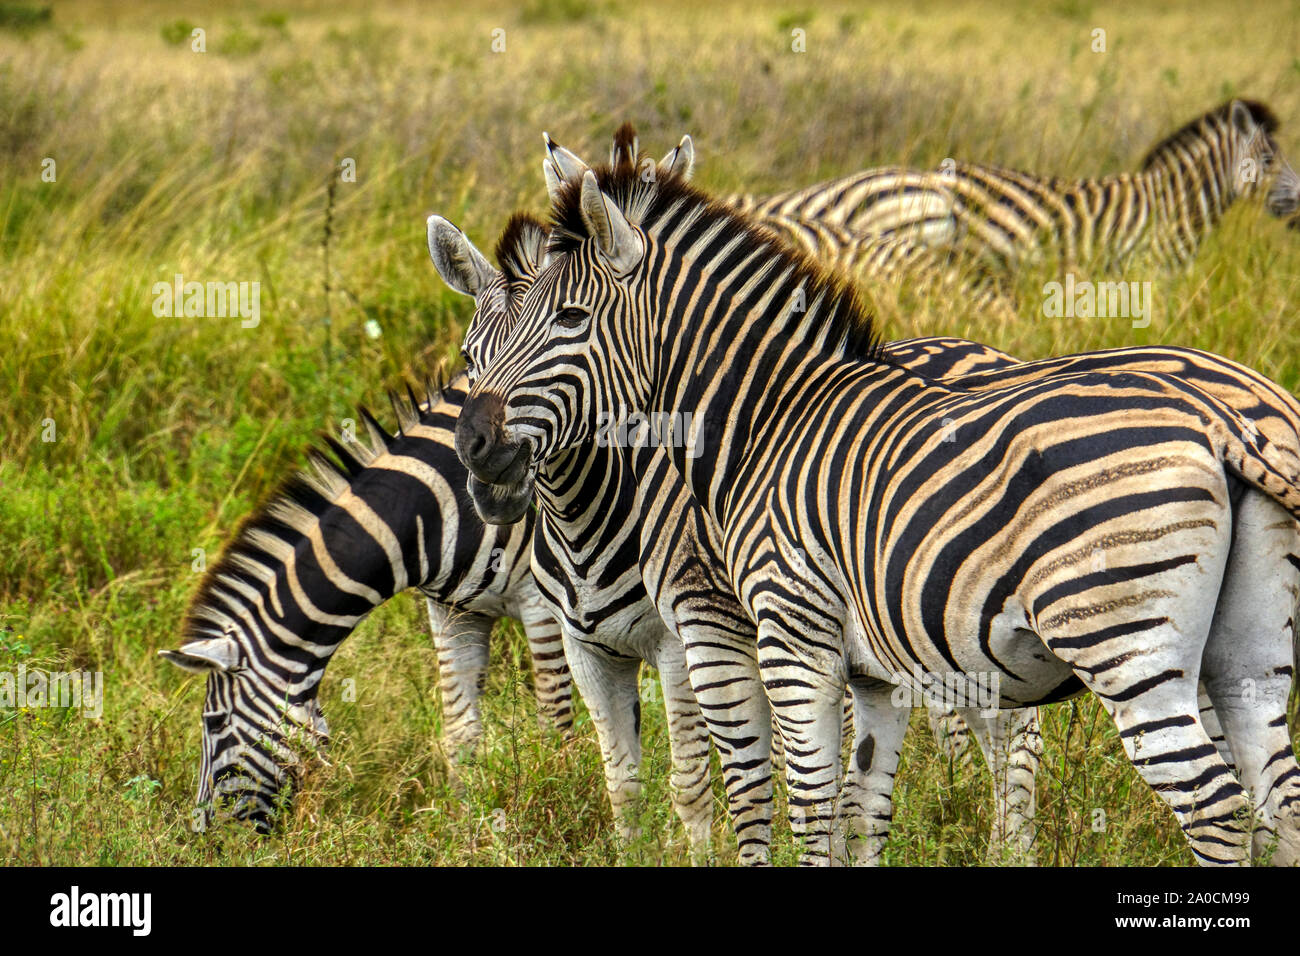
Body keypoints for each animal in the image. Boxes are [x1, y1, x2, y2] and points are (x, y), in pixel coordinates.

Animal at [158, 381, 572, 830]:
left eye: (214, 723)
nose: (203, 836)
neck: (436, 513)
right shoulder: (456, 611)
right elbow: (461, 733)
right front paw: (466, 829)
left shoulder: (541, 603)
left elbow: (554, 725)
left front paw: (557, 812)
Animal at [455, 156, 1300, 865]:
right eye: (476, 348)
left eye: (568, 319)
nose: (473, 439)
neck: (769, 417)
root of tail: (1218, 419)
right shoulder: (873, 675)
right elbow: (862, 810)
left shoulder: (789, 637)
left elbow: (804, 805)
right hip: (1247, 655)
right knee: (1277, 800)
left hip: (1126, 646)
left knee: (1216, 809)